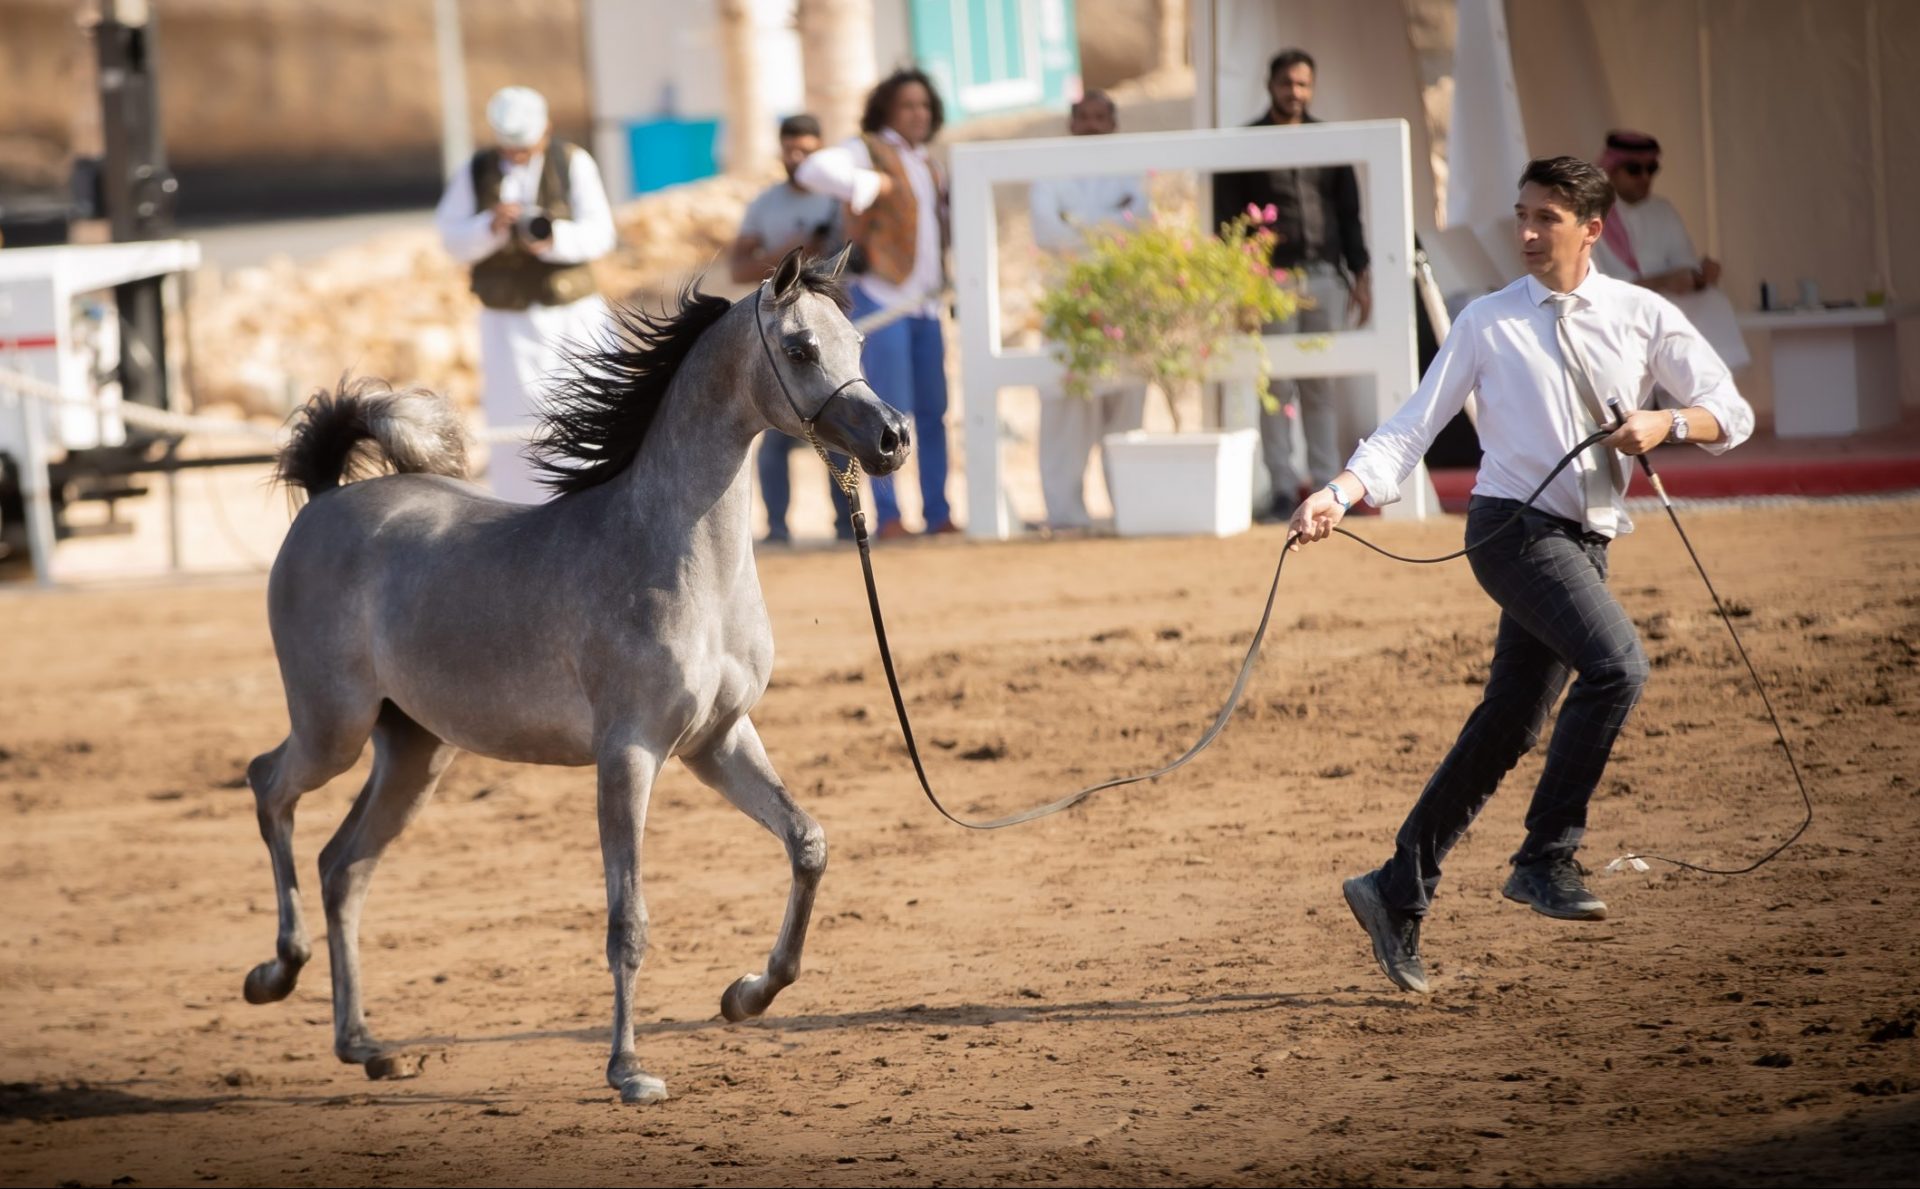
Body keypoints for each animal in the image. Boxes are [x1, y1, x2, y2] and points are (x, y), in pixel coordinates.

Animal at [240, 248, 910, 1104]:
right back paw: (275, 972)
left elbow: (807, 843)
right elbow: (629, 919)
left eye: (856, 341)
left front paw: (748, 995)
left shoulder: (718, 740)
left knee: (343, 866)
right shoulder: (629, 755)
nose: (891, 438)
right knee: (269, 786)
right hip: (335, 727)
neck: (678, 555)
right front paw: (629, 1071)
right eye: (799, 347)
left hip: (415, 752)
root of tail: (327, 499)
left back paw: (365, 1045)